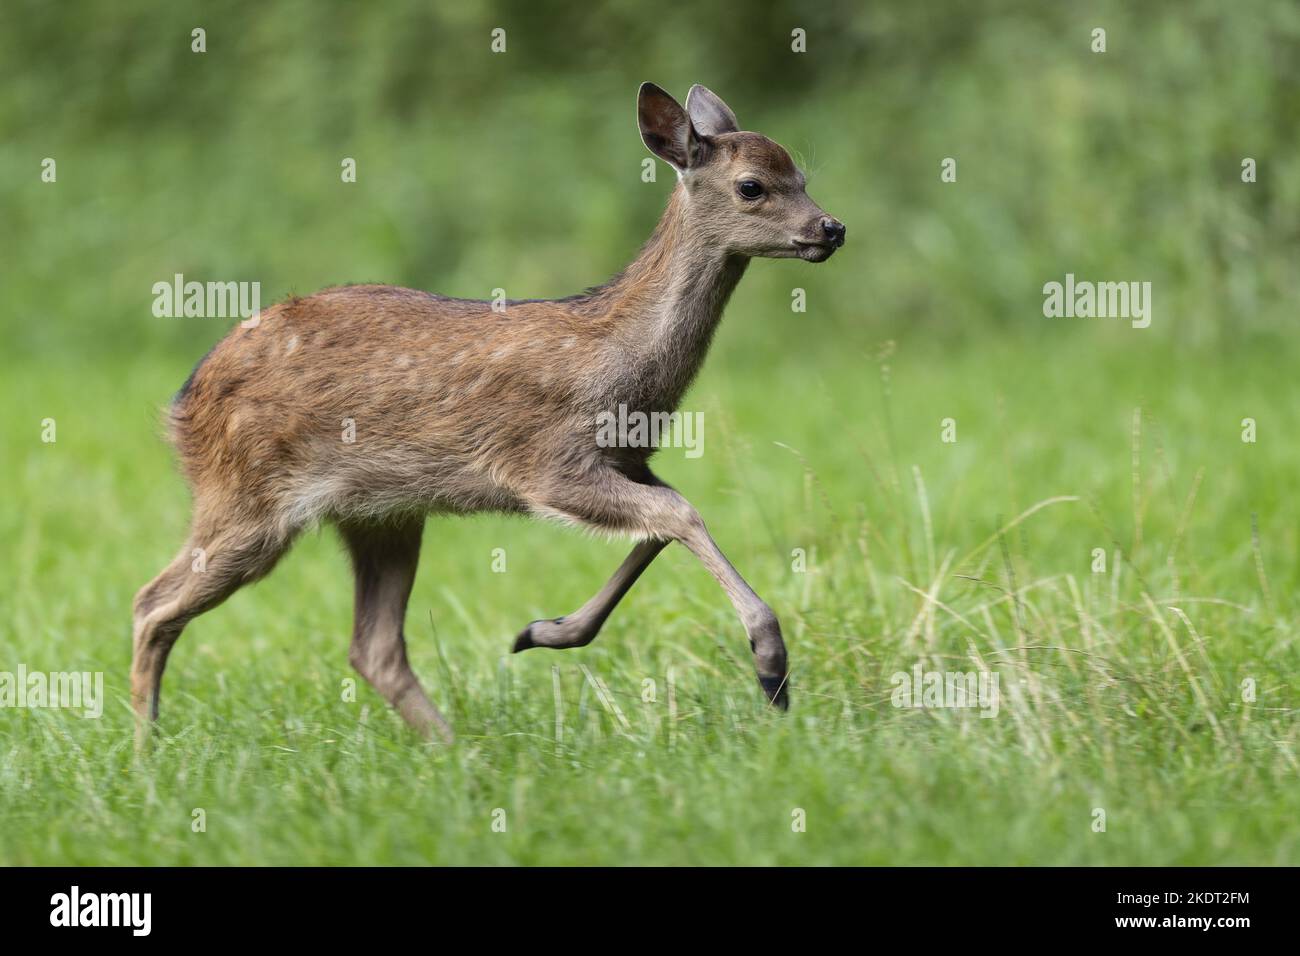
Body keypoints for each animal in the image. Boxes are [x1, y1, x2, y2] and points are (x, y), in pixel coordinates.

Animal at [131, 83, 845, 745]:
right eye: (752, 186)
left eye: (804, 178)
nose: (831, 228)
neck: (618, 360)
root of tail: (183, 402)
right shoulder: (547, 464)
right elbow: (680, 515)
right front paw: (771, 668)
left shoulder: (629, 459)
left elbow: (661, 526)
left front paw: (544, 631)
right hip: (248, 495)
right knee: (152, 603)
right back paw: (147, 753)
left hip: (380, 514)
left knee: (373, 646)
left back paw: (454, 751)